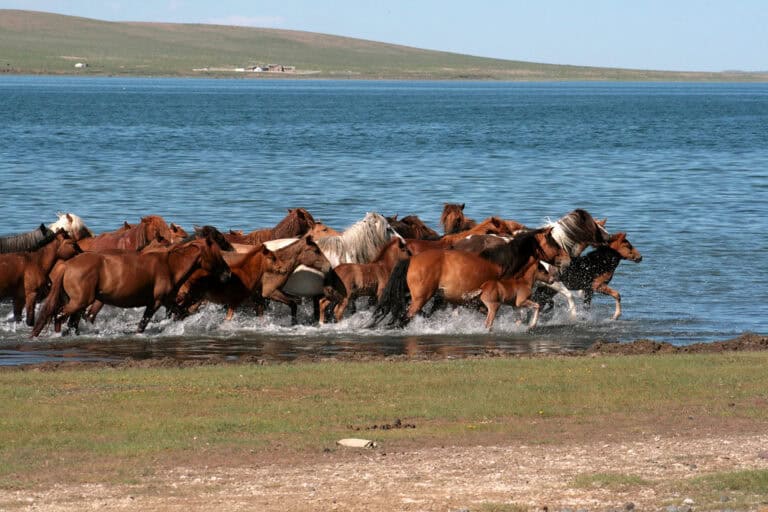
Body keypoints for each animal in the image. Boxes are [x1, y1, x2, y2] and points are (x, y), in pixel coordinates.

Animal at [31, 236, 231, 337]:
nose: (228, 274)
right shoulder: (156, 302)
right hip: (79, 302)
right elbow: (143, 323)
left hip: (79, 303)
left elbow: (180, 313)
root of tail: (68, 265)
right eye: (217, 254)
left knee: (70, 321)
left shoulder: (167, 301)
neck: (170, 266)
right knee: (59, 316)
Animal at [371, 227, 570, 328]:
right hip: (421, 298)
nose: (567, 260)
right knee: (405, 318)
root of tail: (411, 260)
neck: (502, 261)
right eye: (553, 242)